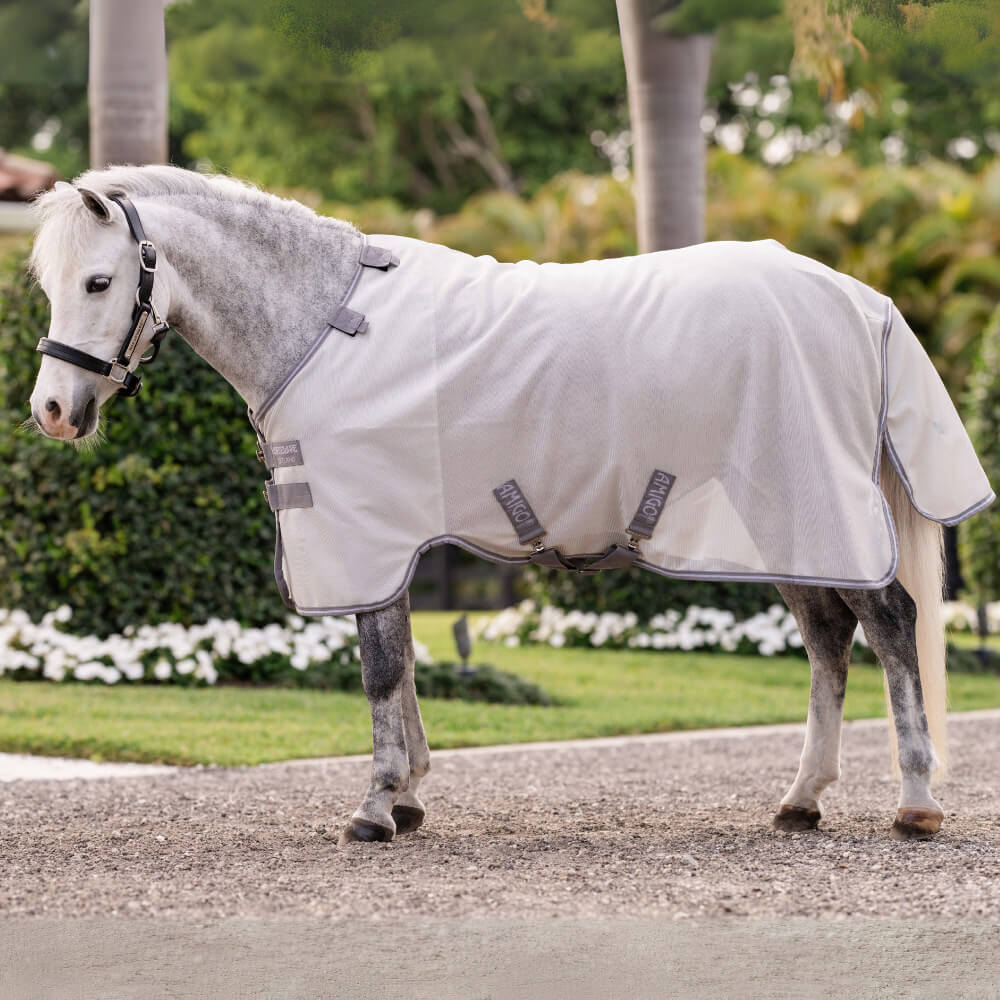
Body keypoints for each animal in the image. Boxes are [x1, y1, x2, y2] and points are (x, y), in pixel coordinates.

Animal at [26, 165, 993, 845]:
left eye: (100, 282)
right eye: (46, 284)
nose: (52, 411)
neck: (324, 325)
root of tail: (861, 300)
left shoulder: (368, 536)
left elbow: (380, 669)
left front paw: (376, 806)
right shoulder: (394, 543)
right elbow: (404, 667)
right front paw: (409, 795)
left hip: (814, 508)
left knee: (892, 624)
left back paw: (915, 800)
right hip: (787, 524)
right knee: (830, 640)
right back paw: (801, 800)